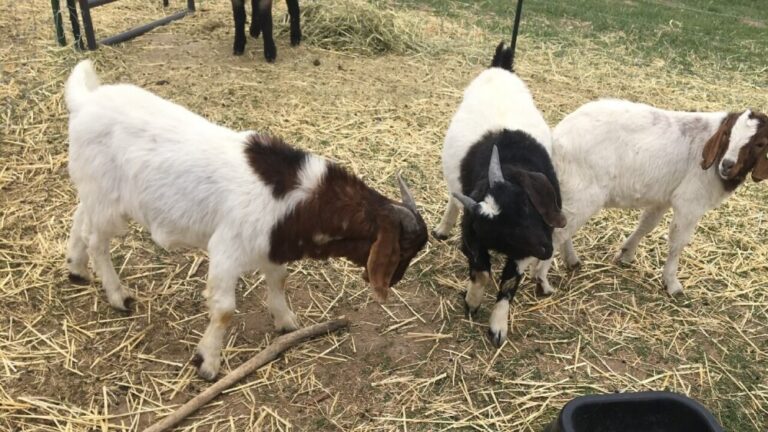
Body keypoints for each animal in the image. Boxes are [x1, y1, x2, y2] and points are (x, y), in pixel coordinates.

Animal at [64, 60, 427, 380]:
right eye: (405, 248)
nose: (394, 281)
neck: (299, 200)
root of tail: (85, 103)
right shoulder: (227, 249)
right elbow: (224, 309)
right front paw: (207, 362)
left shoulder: (271, 247)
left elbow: (279, 280)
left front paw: (286, 322)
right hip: (109, 203)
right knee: (97, 241)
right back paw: (117, 296)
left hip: (95, 190)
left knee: (80, 217)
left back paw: (76, 268)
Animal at [433, 42, 566, 347]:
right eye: (497, 229)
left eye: (527, 206)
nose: (547, 248)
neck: (510, 162)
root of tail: (501, 66)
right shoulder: (473, 234)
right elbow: (481, 272)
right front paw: (472, 301)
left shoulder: (527, 247)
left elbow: (509, 282)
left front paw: (498, 326)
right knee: (452, 198)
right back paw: (443, 228)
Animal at [533, 99, 768, 296]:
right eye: (727, 134)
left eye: (759, 144)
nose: (727, 165)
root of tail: (557, 137)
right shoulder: (689, 203)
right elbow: (678, 242)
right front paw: (672, 284)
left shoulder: (661, 199)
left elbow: (647, 225)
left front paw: (626, 254)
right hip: (584, 191)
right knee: (559, 231)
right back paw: (542, 282)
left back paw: (571, 261)